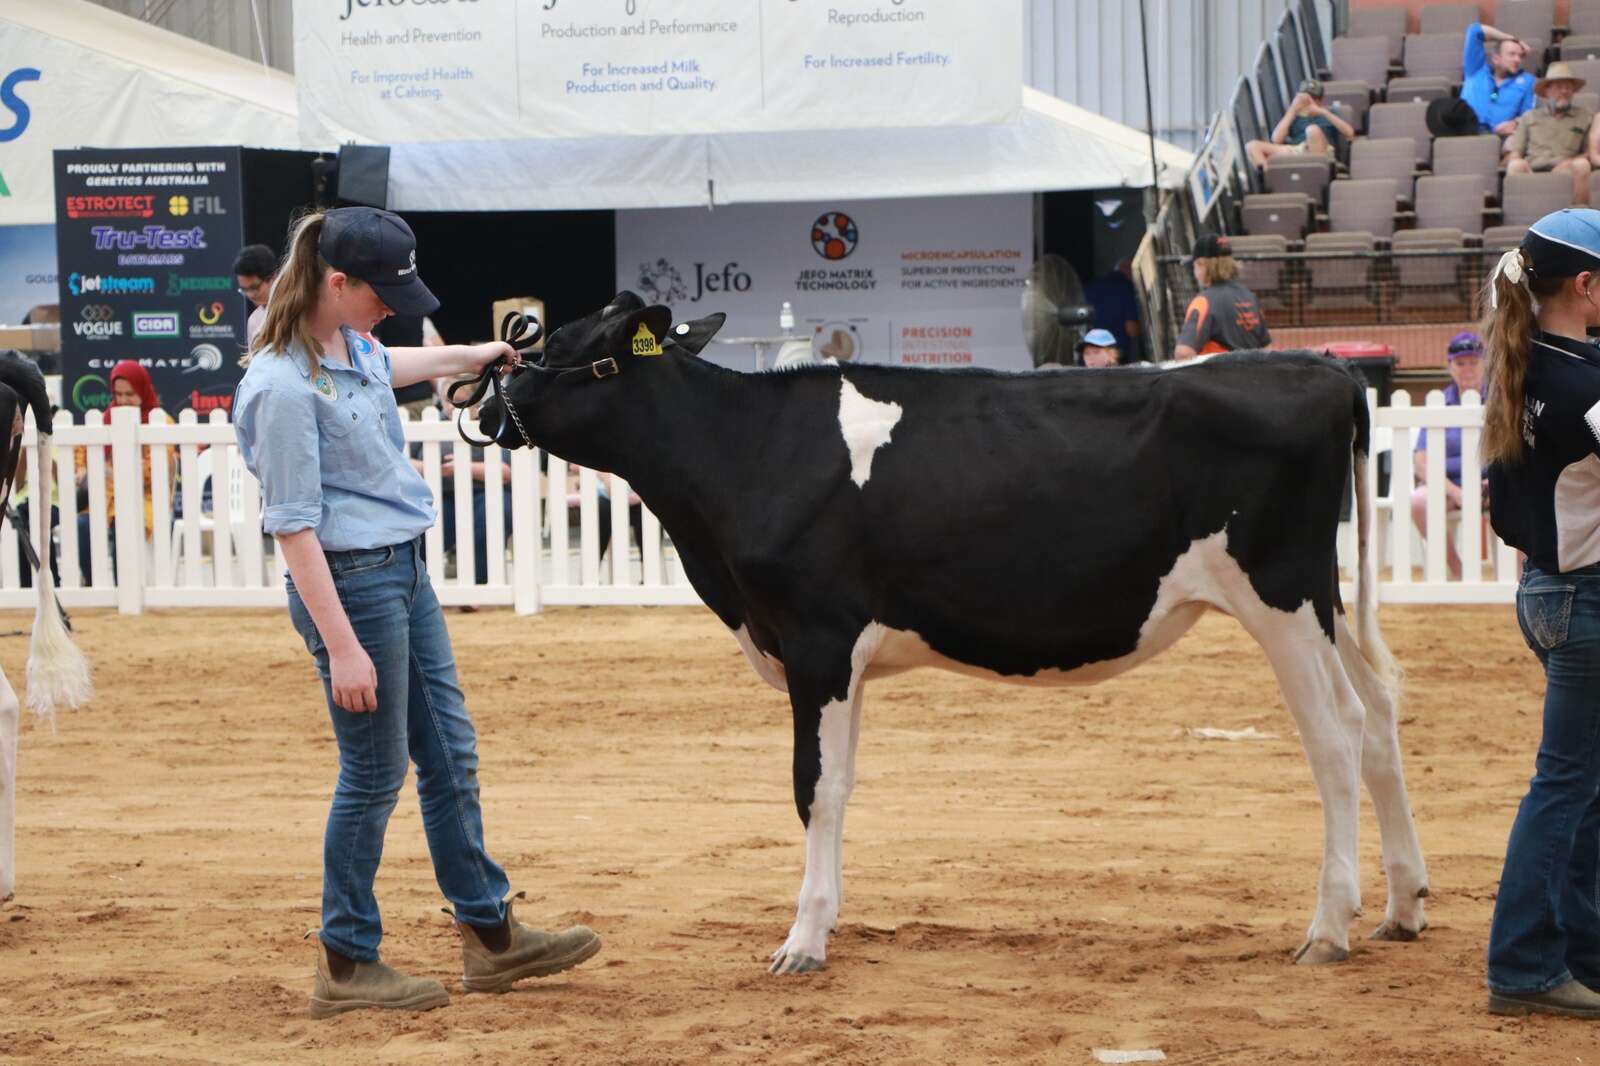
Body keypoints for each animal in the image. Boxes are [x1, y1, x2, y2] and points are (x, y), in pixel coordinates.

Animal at [469, 293, 1428, 974]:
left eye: (565, 349)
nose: (481, 405)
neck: (747, 453)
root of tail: (1321, 370)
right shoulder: (841, 657)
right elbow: (842, 785)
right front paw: (824, 922)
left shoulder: (816, 638)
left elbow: (812, 787)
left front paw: (801, 943)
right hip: (1324, 601)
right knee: (1381, 713)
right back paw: (1403, 906)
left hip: (1282, 598)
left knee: (1337, 735)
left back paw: (1328, 928)